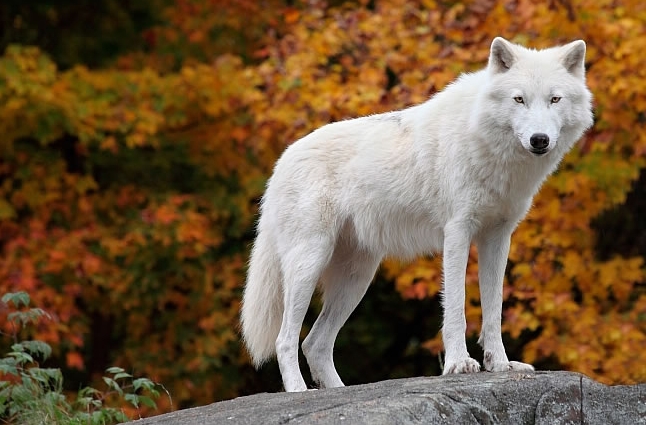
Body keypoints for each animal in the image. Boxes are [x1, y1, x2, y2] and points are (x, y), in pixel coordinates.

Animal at [241, 37, 593, 392]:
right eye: (519, 99)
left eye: (554, 99)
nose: (539, 140)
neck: (485, 142)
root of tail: (281, 162)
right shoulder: (457, 232)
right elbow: (456, 306)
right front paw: (458, 364)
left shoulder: (498, 237)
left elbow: (494, 309)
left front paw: (500, 365)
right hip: (309, 264)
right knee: (286, 340)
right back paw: (298, 392)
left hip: (356, 279)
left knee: (314, 343)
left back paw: (337, 389)